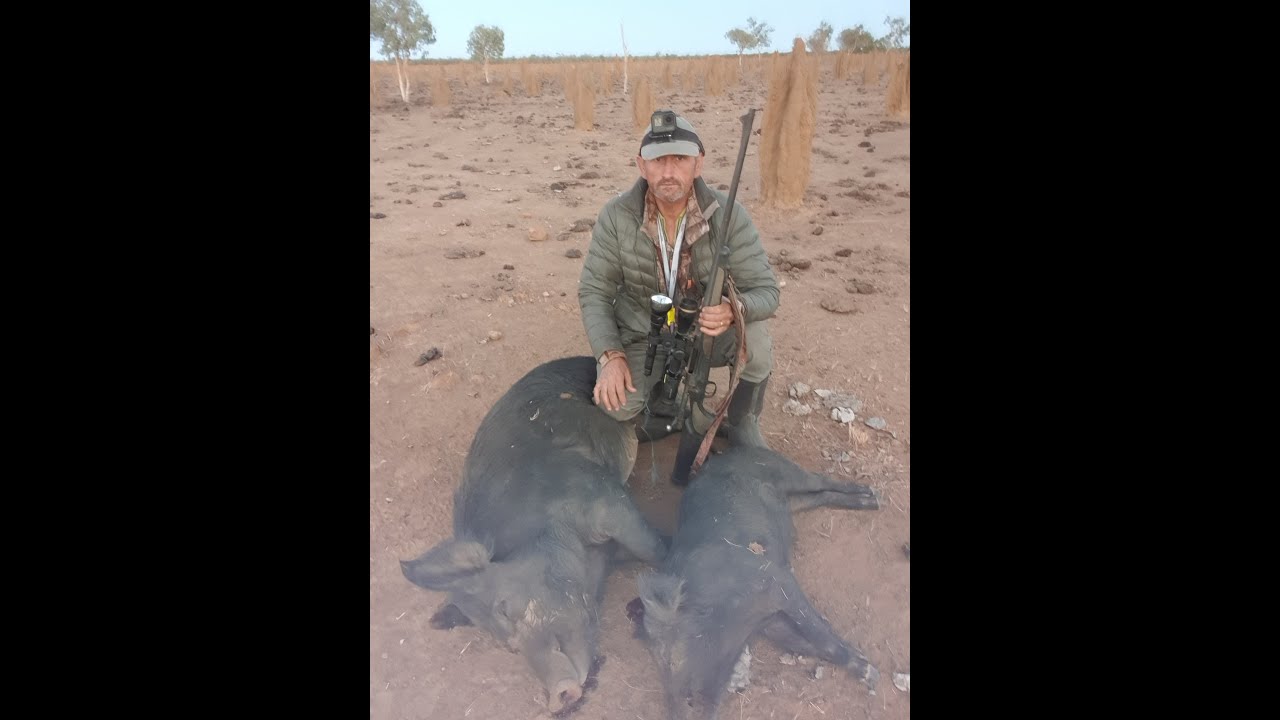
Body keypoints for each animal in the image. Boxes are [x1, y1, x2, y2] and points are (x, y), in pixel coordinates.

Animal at [630, 445, 882, 720]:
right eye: (654, 660)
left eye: (669, 656)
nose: (675, 710)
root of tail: (728, 452)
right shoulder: (770, 622)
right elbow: (806, 644)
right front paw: (865, 663)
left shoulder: (778, 582)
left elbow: (818, 632)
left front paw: (871, 674)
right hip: (792, 502)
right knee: (818, 496)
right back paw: (870, 500)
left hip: (785, 470)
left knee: (820, 480)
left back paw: (873, 495)